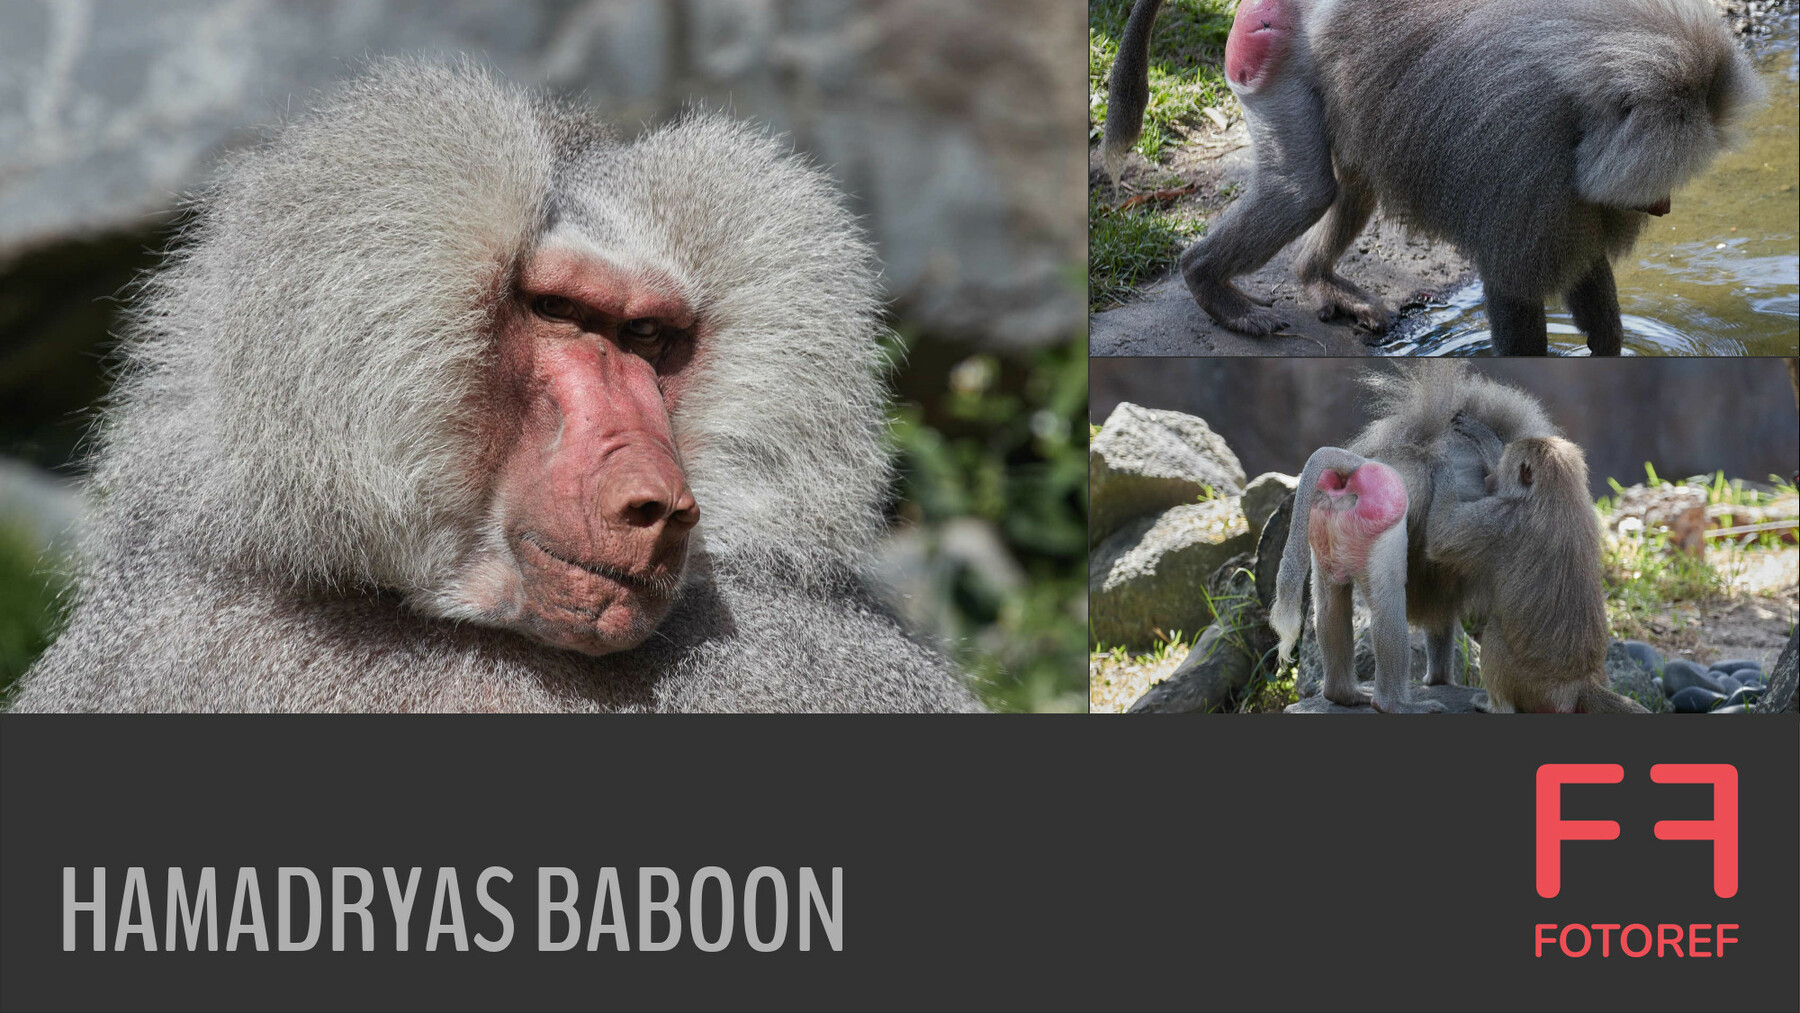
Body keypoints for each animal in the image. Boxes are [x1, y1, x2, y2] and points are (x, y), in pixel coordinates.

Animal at [1102, 0, 1760, 354]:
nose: (1664, 207)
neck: (1581, 112)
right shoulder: (1526, 165)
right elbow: (1515, 290)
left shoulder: (1567, 196)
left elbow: (1585, 265)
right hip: (1273, 55)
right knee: (1302, 191)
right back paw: (1212, 287)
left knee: (1352, 185)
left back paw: (1319, 282)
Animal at [1269, 362, 1557, 712]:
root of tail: (1359, 468)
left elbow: (1441, 618)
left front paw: (1439, 680)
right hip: (1381, 523)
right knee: (1389, 601)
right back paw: (1395, 704)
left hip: (1323, 532)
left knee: (1330, 602)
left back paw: (1345, 694)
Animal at [1423, 433, 1649, 713]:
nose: (1488, 480)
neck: (1556, 494)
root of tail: (1577, 685)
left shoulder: (1497, 517)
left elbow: (1439, 537)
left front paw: (1441, 464)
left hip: (1529, 686)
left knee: (1494, 633)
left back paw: (1493, 705)